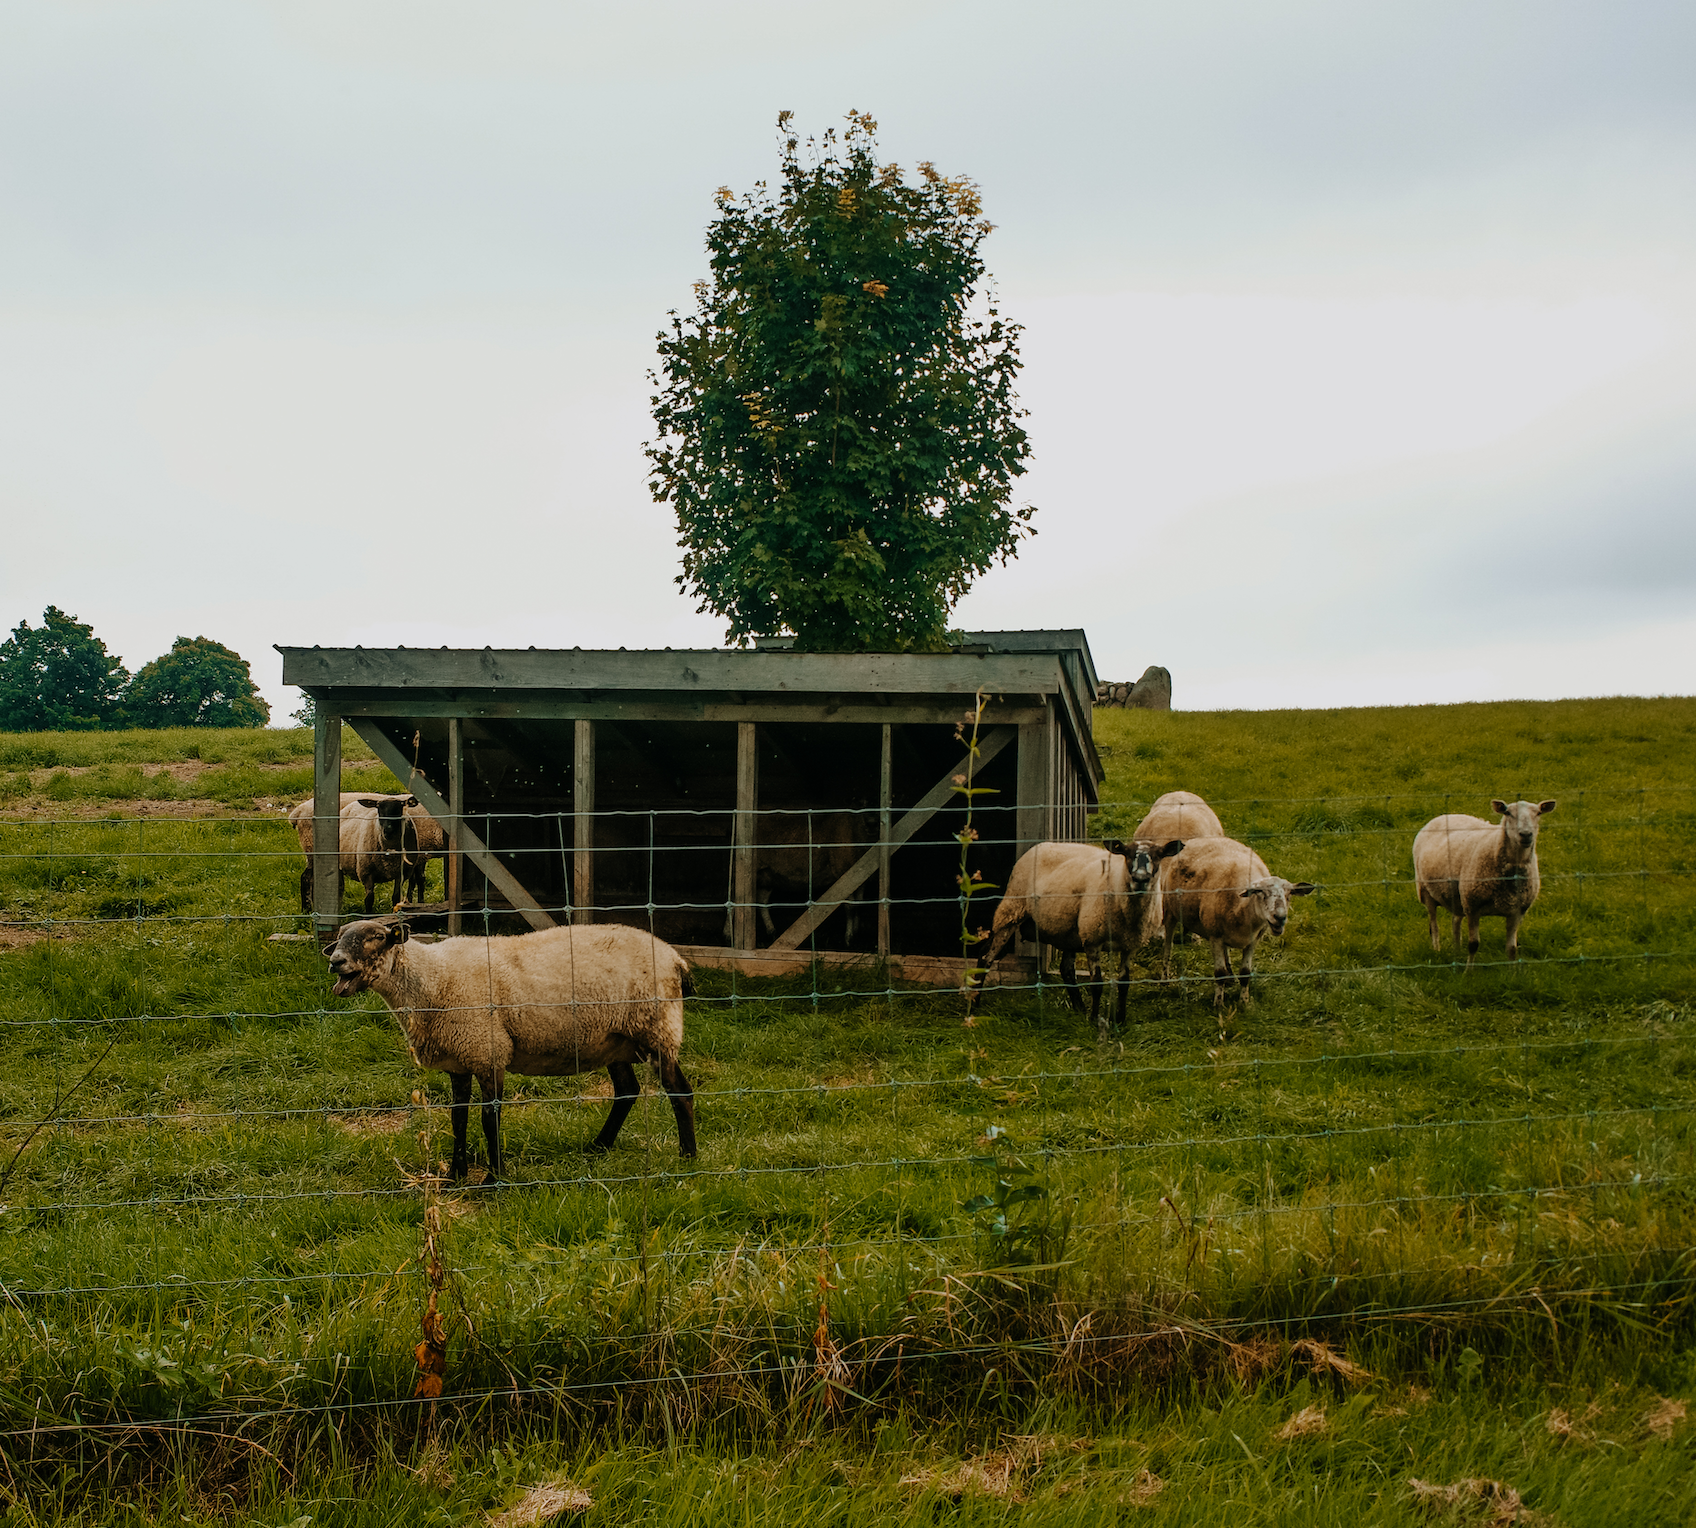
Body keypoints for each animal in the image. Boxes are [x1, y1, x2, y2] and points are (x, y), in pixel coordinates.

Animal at [288, 794, 418, 914]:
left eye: (400, 808)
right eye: (378, 808)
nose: (388, 831)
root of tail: (296, 813)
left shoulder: (402, 873)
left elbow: (396, 898)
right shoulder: (366, 872)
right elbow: (369, 899)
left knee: (338, 885)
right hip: (312, 851)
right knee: (306, 878)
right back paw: (306, 909)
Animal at [323, 918, 695, 1180]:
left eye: (375, 937)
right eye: (339, 937)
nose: (335, 961)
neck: (431, 978)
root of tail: (675, 957)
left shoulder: (488, 1050)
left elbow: (490, 1118)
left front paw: (494, 1178)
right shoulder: (460, 1059)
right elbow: (458, 1117)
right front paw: (455, 1175)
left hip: (658, 1028)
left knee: (680, 1092)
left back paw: (688, 1157)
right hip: (614, 1040)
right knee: (627, 1091)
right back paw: (598, 1146)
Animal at [968, 836, 1185, 1039]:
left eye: (1158, 856)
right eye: (1127, 854)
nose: (1140, 878)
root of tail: (1040, 845)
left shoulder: (1129, 945)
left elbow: (1124, 983)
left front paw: (1120, 1020)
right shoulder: (1093, 939)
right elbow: (1097, 983)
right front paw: (1094, 1019)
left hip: (1067, 932)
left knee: (1066, 969)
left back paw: (1079, 1008)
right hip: (1012, 909)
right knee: (986, 956)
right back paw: (974, 1005)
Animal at [1160, 837, 1315, 1005]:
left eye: (1289, 894)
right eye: (1260, 892)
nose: (1280, 917)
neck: (1243, 909)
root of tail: (1197, 839)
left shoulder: (1253, 940)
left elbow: (1245, 973)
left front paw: (1244, 1002)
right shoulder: (1215, 937)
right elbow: (1219, 973)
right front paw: (1218, 1004)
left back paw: (1231, 976)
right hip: (1169, 911)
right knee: (1168, 946)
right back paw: (1164, 979)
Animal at [1412, 799, 1555, 966]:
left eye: (1538, 813)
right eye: (1508, 813)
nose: (1526, 835)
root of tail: (1445, 815)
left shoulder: (1517, 911)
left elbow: (1512, 949)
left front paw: (1512, 971)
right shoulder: (1472, 907)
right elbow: (1473, 945)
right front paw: (1468, 971)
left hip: (1458, 895)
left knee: (1455, 920)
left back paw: (1457, 951)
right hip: (1425, 891)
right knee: (1434, 925)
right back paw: (1437, 950)